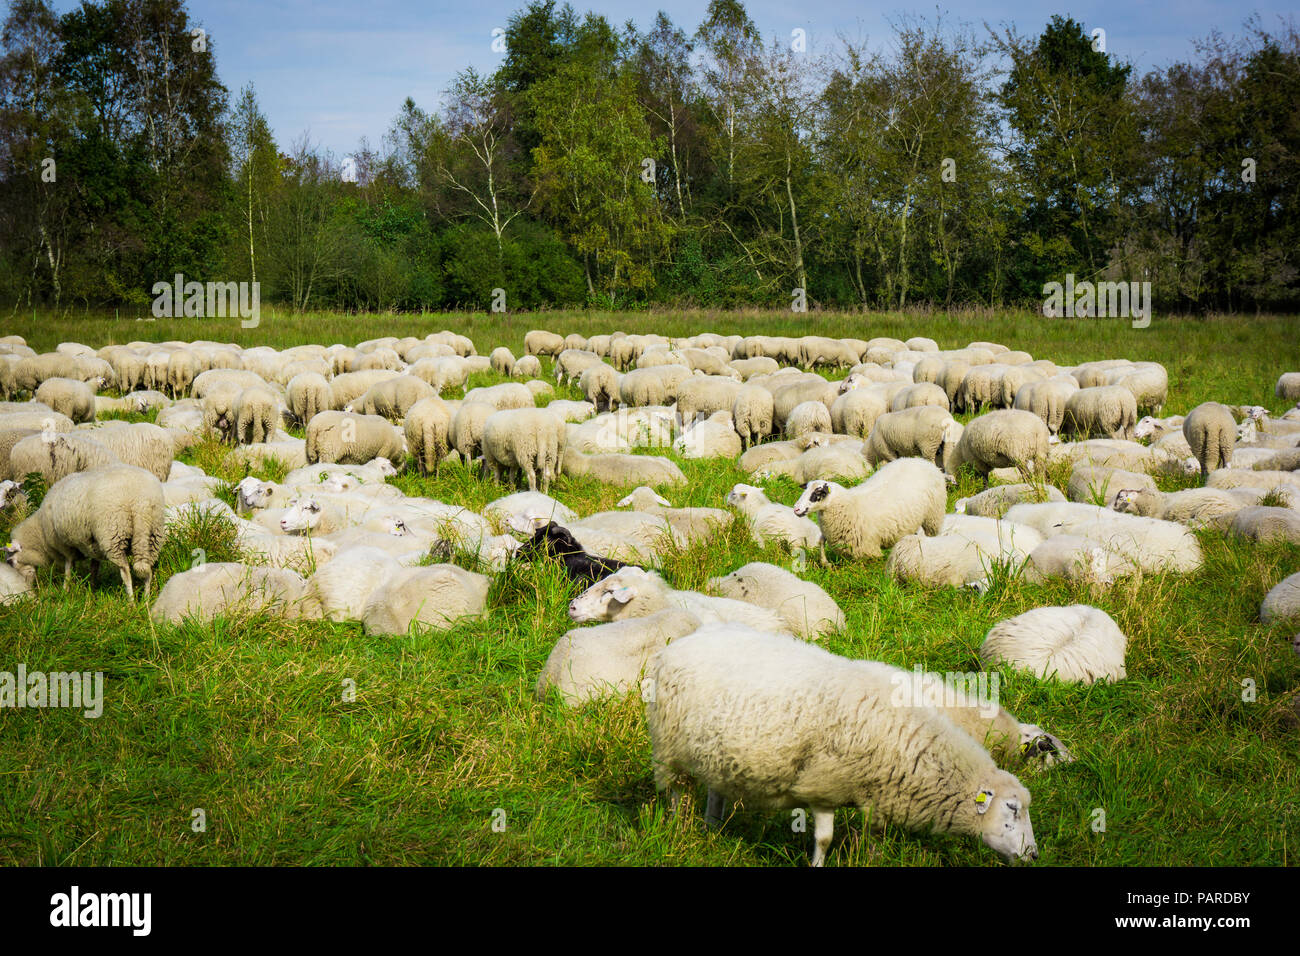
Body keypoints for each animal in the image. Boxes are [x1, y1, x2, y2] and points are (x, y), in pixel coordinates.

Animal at [4, 464, 164, 599]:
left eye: (10, 561)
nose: (24, 589)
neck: (41, 532)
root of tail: (140, 501)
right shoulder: (94, 547)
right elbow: (94, 568)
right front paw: (92, 589)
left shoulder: (66, 546)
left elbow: (69, 568)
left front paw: (65, 591)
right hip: (152, 534)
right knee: (147, 568)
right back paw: (146, 600)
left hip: (113, 533)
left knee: (125, 570)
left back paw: (131, 601)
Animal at [646, 625, 1043, 865]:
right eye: (1011, 809)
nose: (1035, 855)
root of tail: (679, 644)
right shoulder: (824, 786)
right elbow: (824, 839)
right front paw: (818, 863)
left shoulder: (876, 797)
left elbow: (876, 838)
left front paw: (874, 859)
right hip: (668, 745)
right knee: (676, 792)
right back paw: (678, 828)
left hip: (715, 751)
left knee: (715, 787)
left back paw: (712, 827)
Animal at [792, 458, 947, 560]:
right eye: (805, 489)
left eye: (818, 494)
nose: (796, 509)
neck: (848, 504)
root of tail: (922, 461)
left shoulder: (868, 549)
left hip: (933, 517)